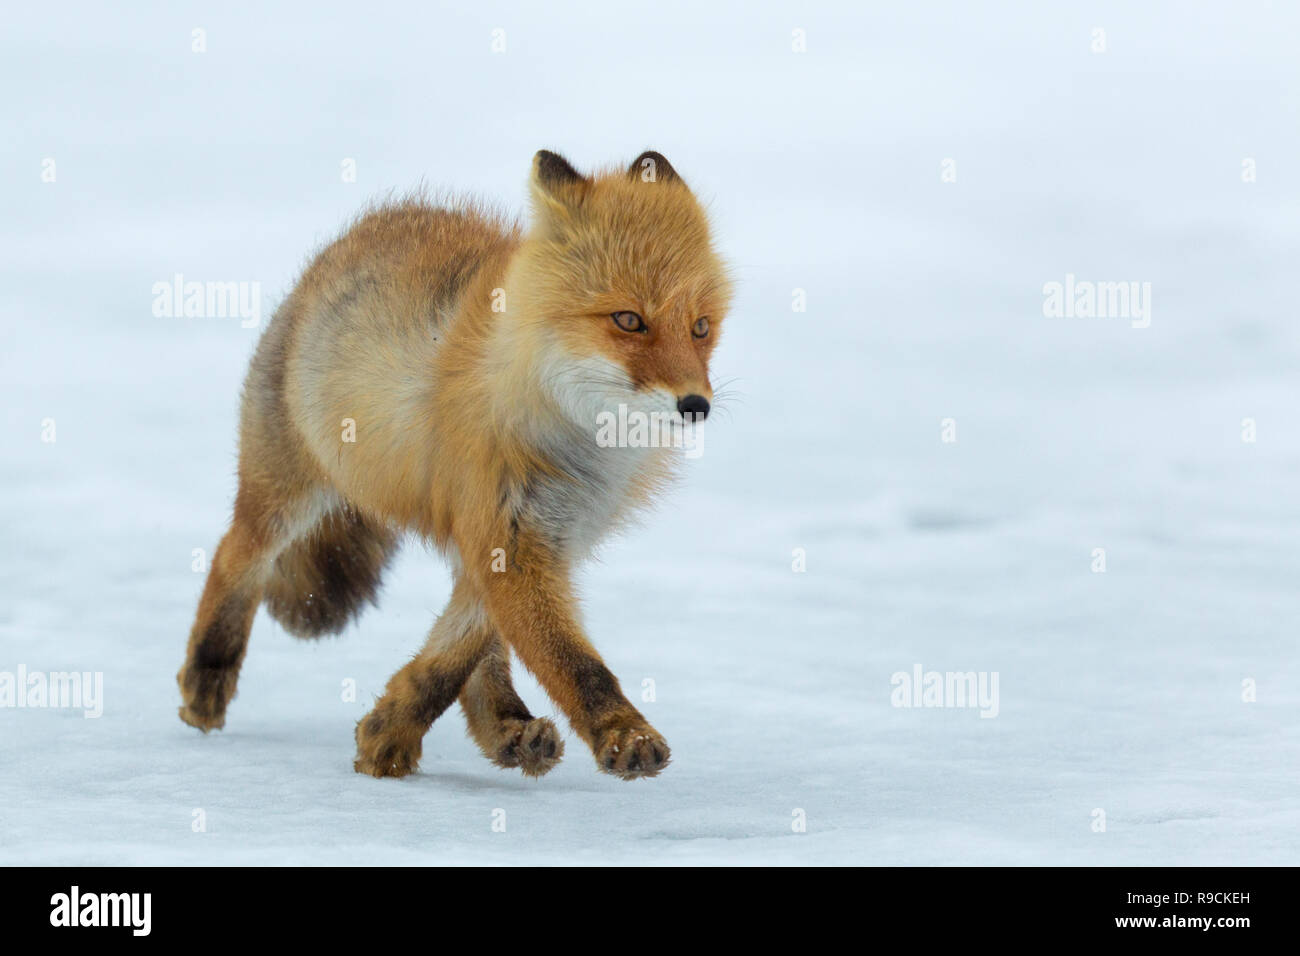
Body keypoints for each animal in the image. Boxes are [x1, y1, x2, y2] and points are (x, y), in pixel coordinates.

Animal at [176, 149, 732, 780]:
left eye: (701, 328)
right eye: (629, 320)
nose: (696, 405)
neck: (578, 444)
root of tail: (350, 239)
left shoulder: (542, 537)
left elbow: (453, 654)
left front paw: (386, 731)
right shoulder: (509, 539)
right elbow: (571, 662)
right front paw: (623, 733)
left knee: (482, 653)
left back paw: (509, 728)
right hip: (286, 497)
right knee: (234, 557)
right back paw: (207, 678)